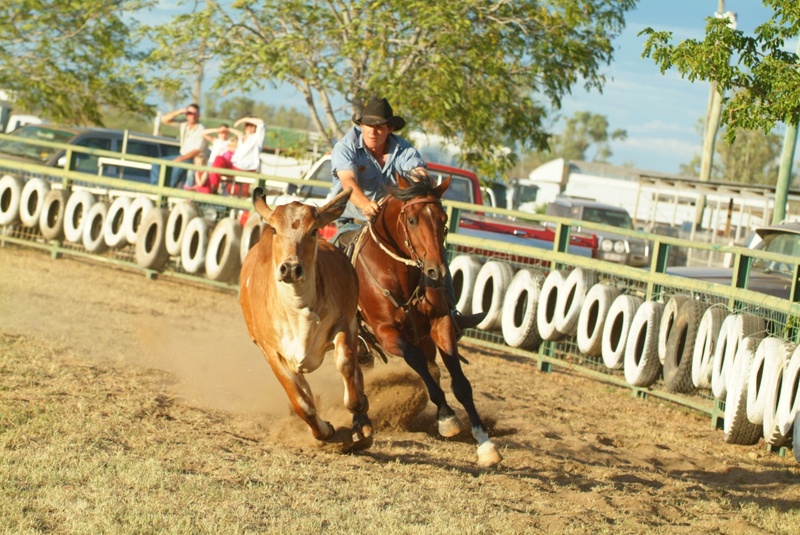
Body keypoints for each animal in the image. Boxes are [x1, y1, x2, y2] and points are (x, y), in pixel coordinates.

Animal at [352, 173, 502, 467]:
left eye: (443, 219)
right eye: (412, 220)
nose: (436, 271)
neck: (397, 273)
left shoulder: (440, 324)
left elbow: (460, 383)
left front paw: (484, 442)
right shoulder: (387, 332)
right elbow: (417, 361)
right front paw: (447, 418)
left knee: (433, 367)